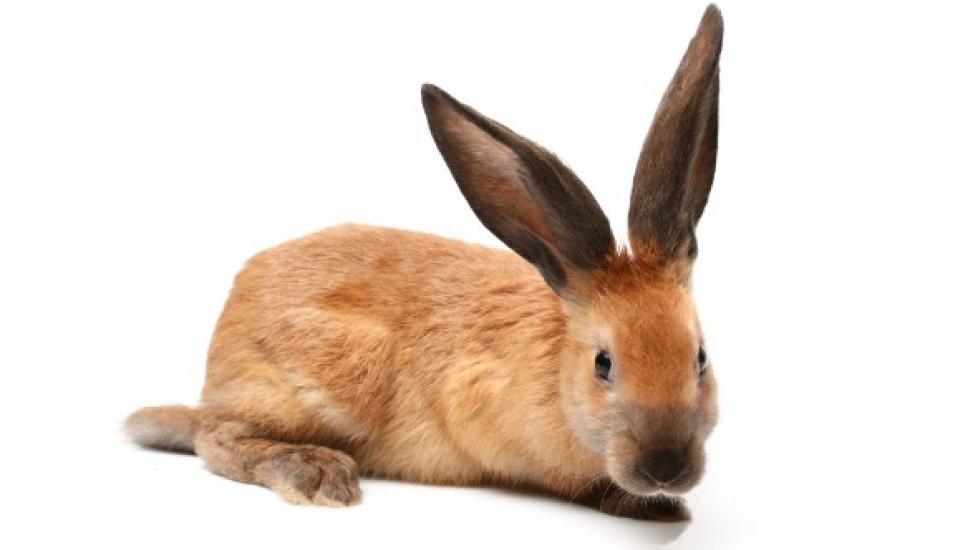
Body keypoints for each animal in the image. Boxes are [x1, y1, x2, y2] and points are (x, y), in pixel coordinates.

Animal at [125, 5, 723, 522]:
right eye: (604, 364)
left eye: (700, 359)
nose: (666, 471)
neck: (556, 369)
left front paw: (664, 508)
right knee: (217, 437)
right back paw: (316, 474)